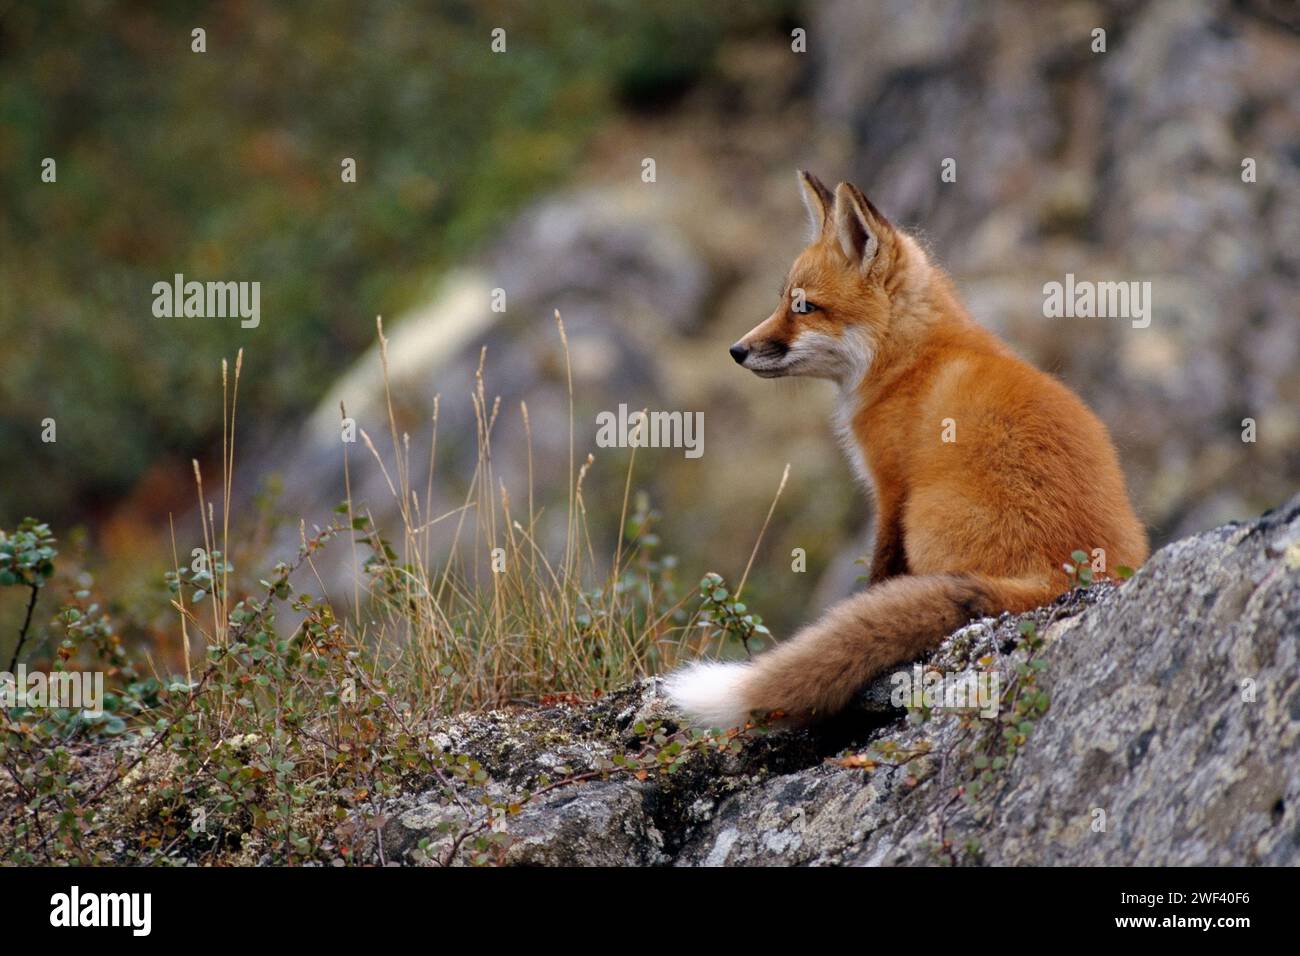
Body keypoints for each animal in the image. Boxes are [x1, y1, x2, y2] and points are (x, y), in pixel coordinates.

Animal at [665, 171, 1148, 729]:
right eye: (783, 300)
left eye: (803, 307)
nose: (736, 350)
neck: (908, 362)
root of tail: (1066, 578)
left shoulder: (891, 487)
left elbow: (880, 570)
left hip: (927, 518)